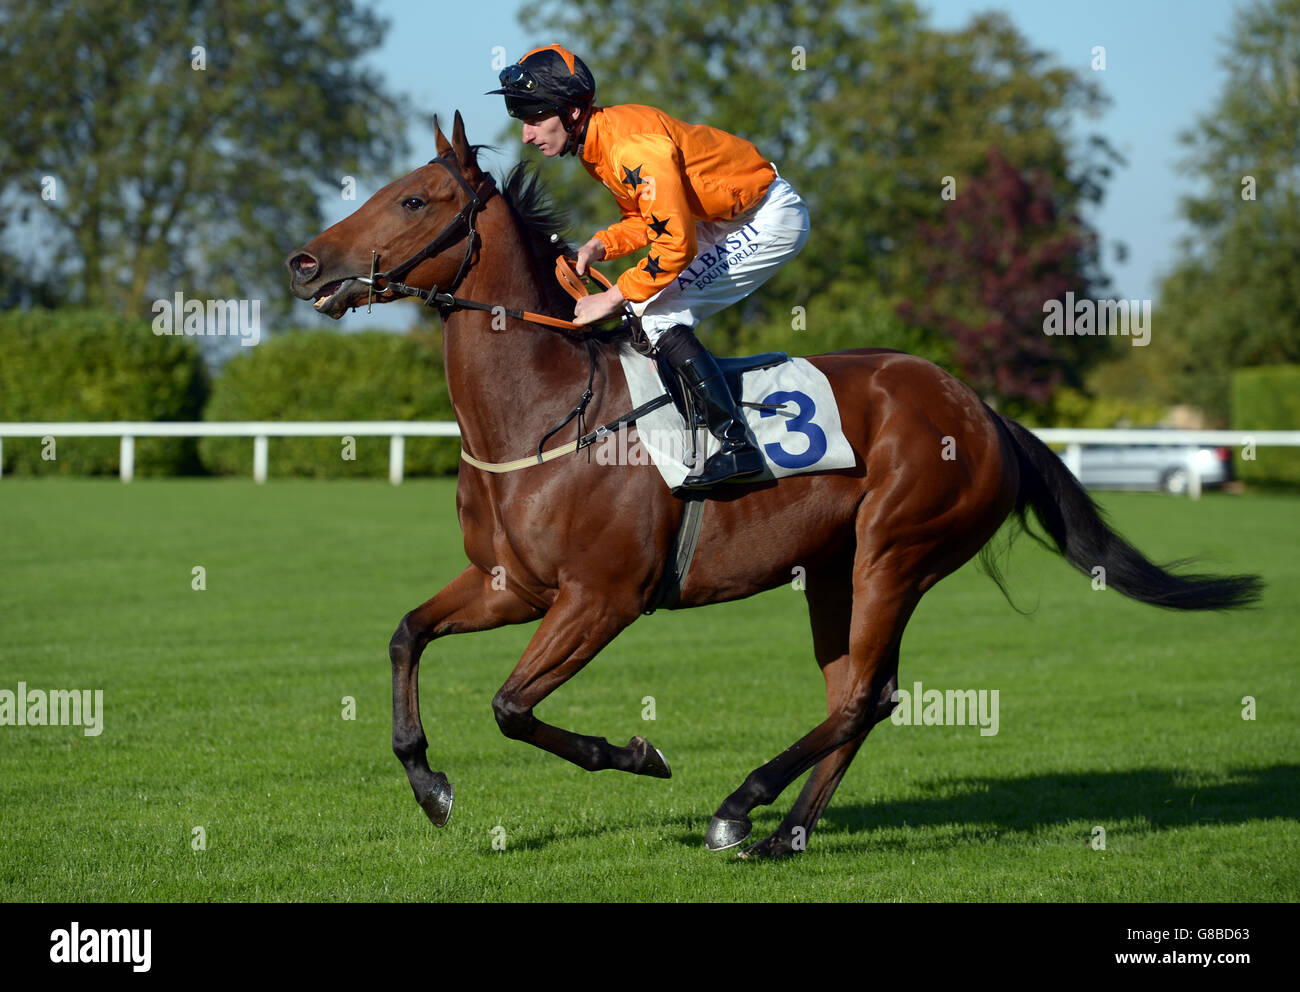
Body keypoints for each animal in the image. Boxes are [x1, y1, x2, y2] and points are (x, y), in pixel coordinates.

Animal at [285, 112, 1262, 857]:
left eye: (414, 199)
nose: (305, 264)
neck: (547, 414)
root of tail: (981, 409)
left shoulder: (602, 596)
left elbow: (511, 705)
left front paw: (638, 754)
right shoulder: (511, 585)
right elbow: (408, 636)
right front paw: (429, 784)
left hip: (895, 553)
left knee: (863, 694)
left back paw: (739, 807)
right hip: (835, 568)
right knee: (860, 697)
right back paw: (784, 832)